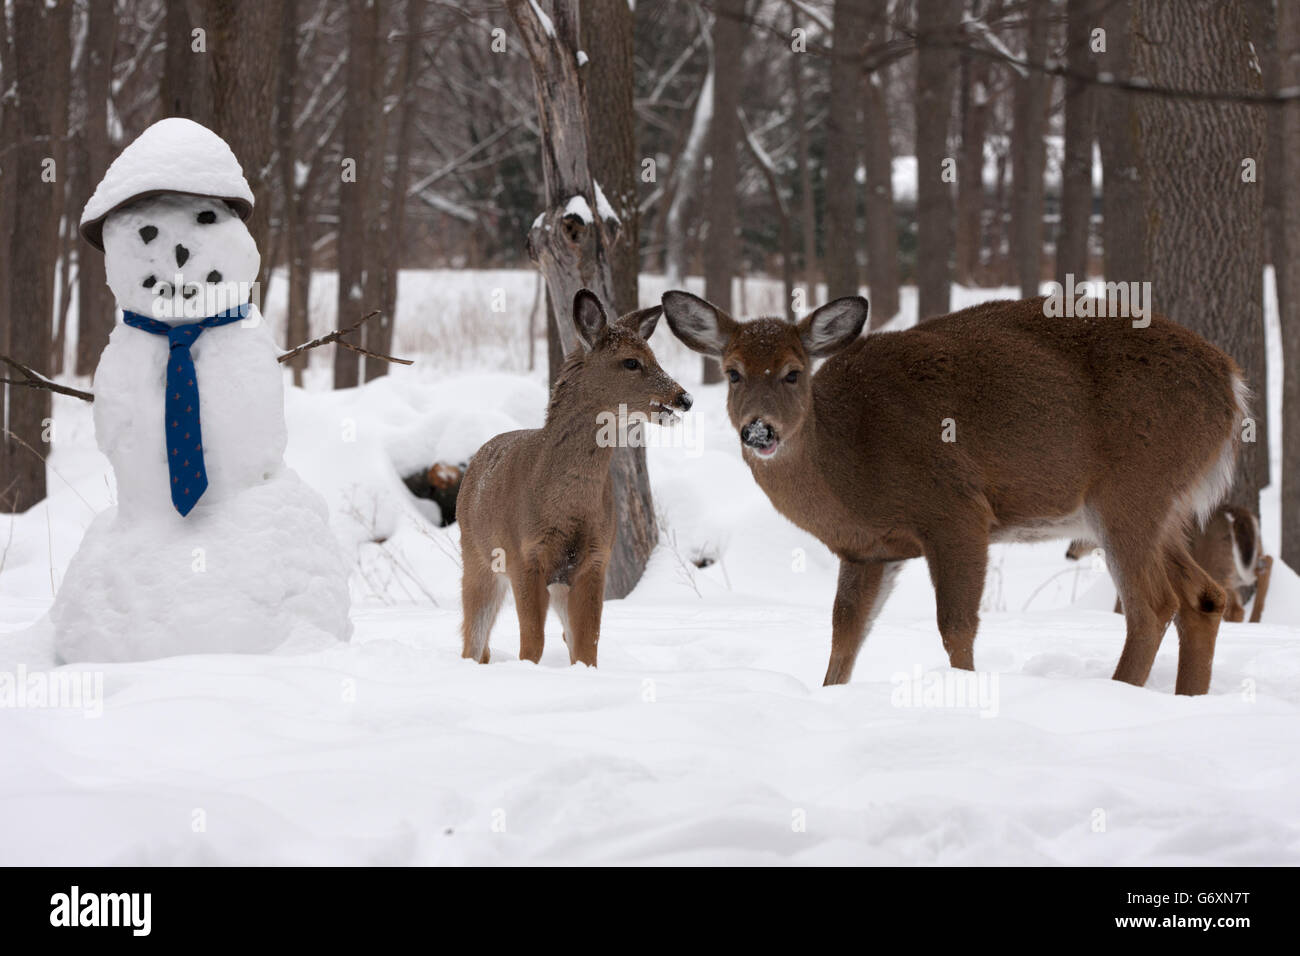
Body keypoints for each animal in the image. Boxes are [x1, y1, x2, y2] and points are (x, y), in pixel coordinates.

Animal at [457, 289, 692, 669]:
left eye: (654, 356)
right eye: (631, 362)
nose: (684, 397)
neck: (568, 505)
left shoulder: (596, 559)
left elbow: (586, 645)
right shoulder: (524, 555)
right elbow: (532, 644)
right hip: (477, 558)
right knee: (473, 641)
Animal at [661, 291, 1248, 695]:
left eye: (792, 373)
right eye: (732, 373)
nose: (759, 431)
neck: (852, 456)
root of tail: (1232, 384)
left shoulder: (956, 510)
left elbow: (956, 627)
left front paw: (963, 691)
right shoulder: (867, 550)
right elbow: (845, 636)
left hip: (1132, 492)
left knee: (1152, 605)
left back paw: (1119, 693)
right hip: (1163, 506)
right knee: (1205, 596)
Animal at [1066, 504, 1272, 623]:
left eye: (1080, 535)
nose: (1068, 554)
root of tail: (1234, 513)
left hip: (1217, 563)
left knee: (1235, 607)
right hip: (1246, 559)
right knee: (1266, 563)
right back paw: (1256, 618)